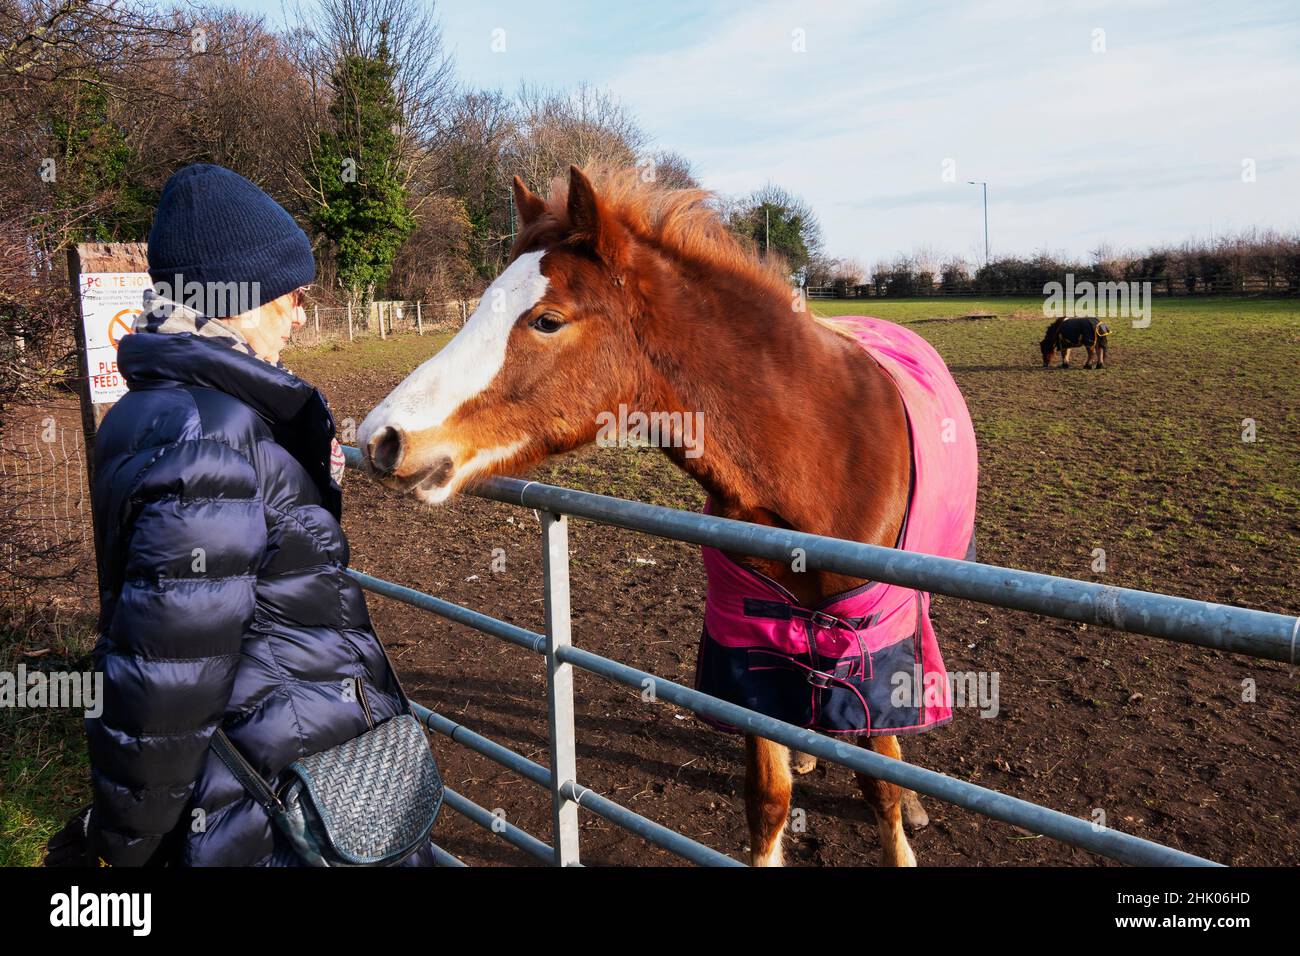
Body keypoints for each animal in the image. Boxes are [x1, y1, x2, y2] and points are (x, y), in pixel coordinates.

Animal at [358, 166, 978, 867]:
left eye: (547, 320)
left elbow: (882, 785)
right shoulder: (749, 647)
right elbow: (769, 799)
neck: (829, 459)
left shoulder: (876, 634)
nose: (381, 438)